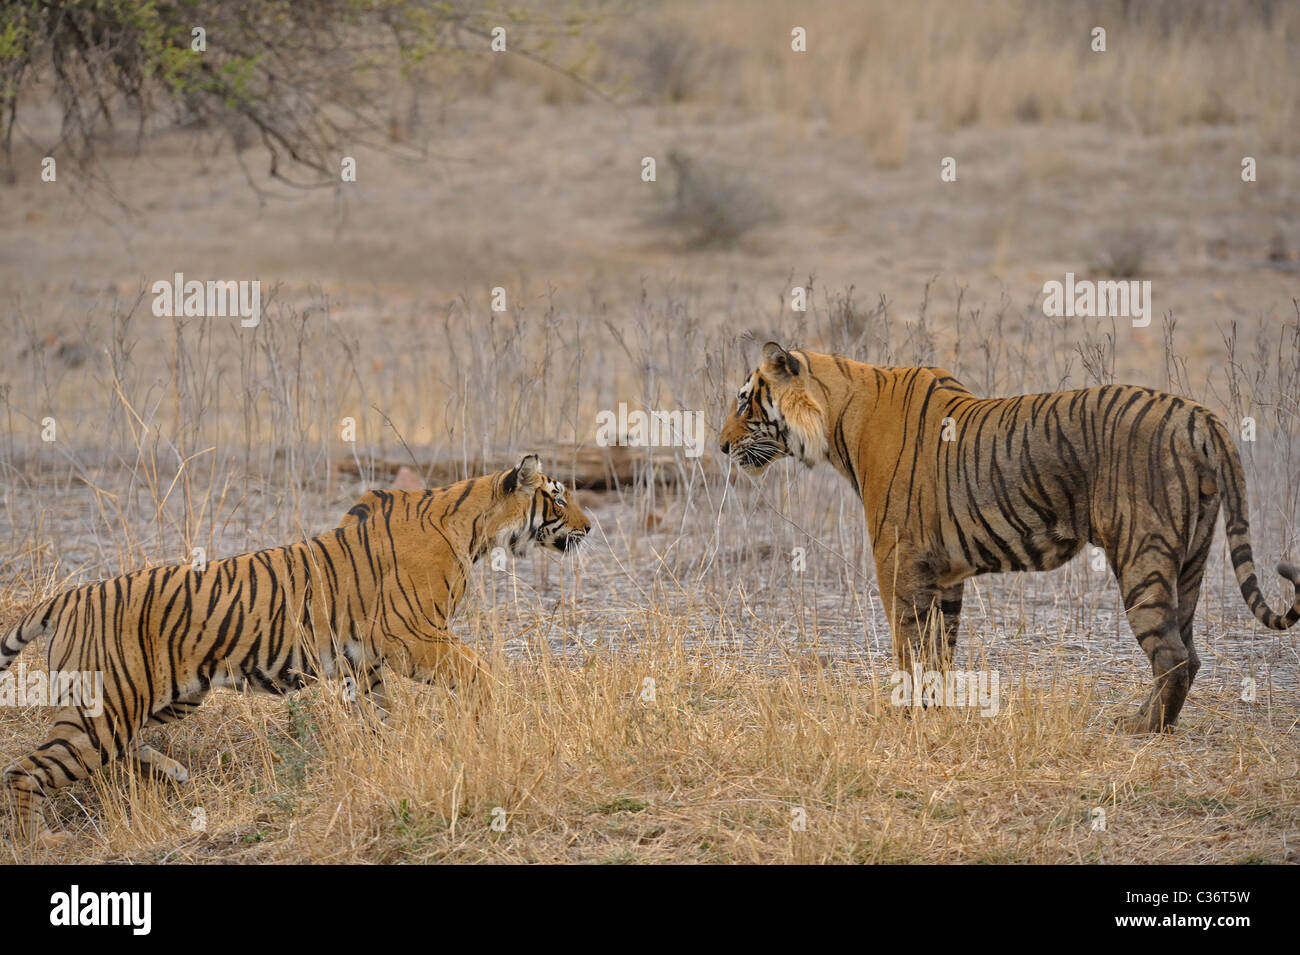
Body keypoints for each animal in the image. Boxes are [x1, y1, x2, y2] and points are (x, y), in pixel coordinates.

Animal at [1, 454, 589, 839]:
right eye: (559, 496)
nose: (590, 526)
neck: (477, 530)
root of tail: (69, 596)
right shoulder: (414, 637)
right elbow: (480, 671)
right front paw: (497, 714)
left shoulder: (370, 659)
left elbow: (381, 712)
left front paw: (389, 751)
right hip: (102, 710)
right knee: (25, 770)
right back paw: (39, 842)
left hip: (170, 697)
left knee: (120, 751)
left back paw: (172, 772)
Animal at [719, 342, 1300, 733]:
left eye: (746, 404)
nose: (721, 446)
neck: (840, 416)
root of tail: (1201, 415)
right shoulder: (943, 571)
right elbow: (940, 647)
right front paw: (934, 707)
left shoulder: (897, 560)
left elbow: (909, 644)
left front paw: (906, 711)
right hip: (1193, 561)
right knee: (1191, 651)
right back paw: (1145, 719)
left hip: (1144, 556)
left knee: (1174, 654)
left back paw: (1142, 729)